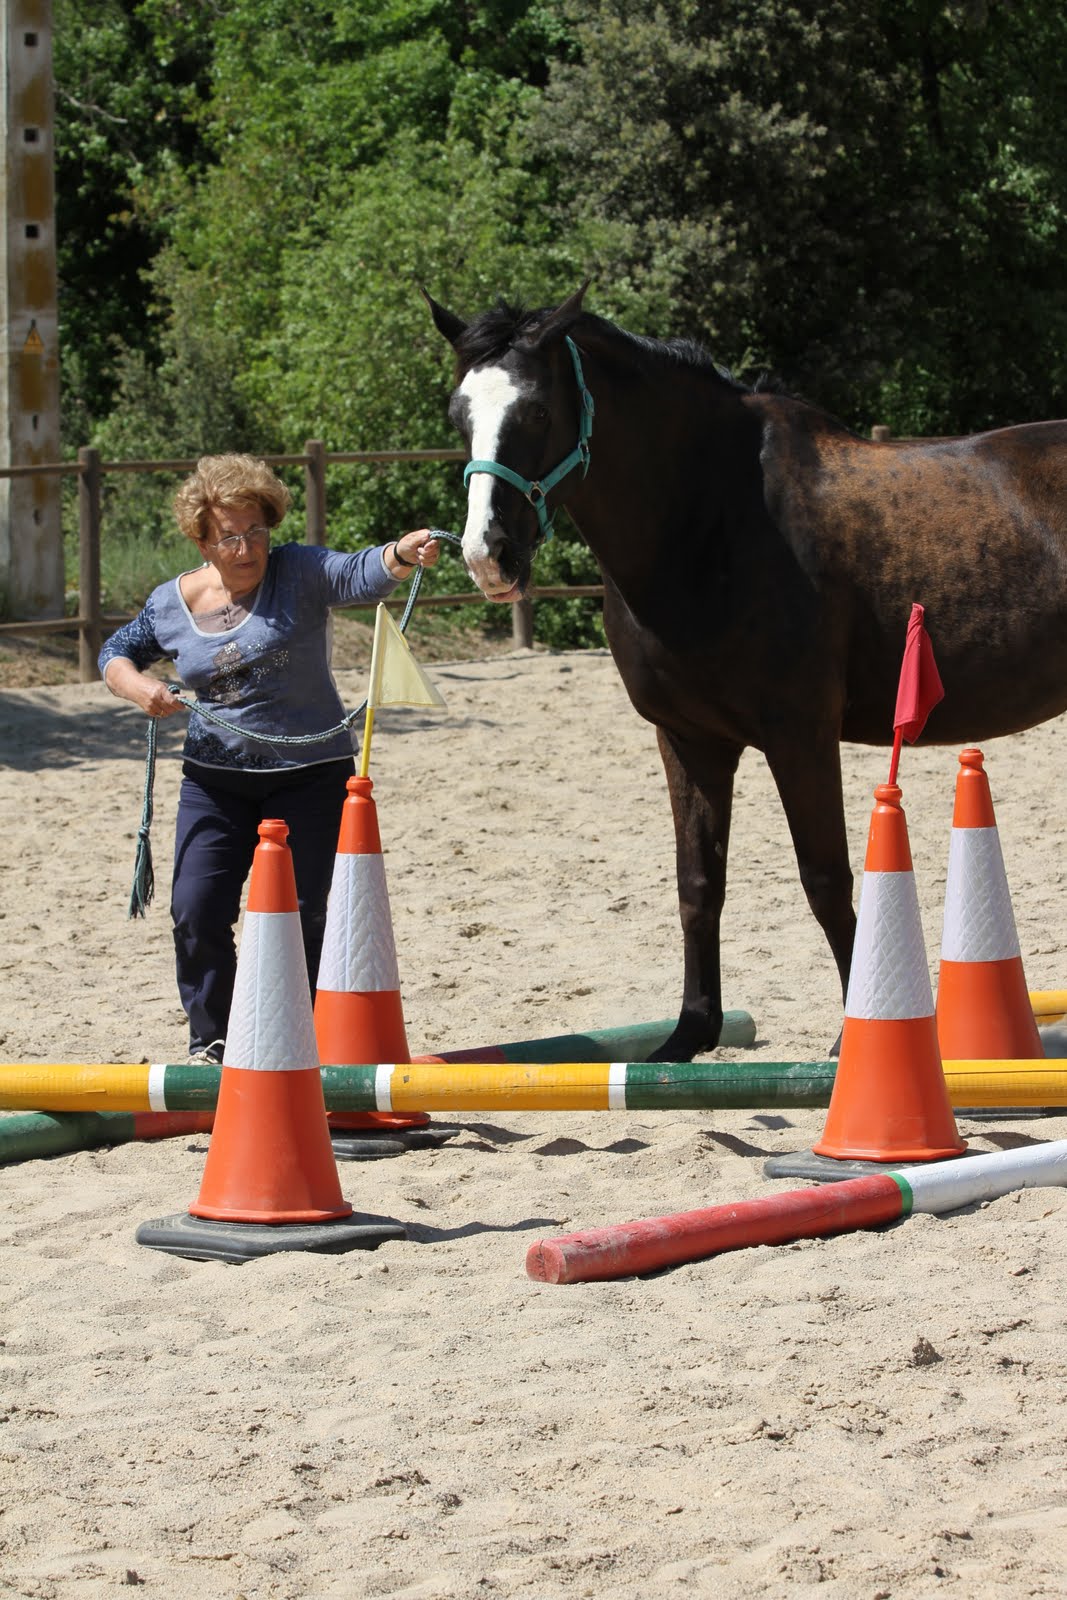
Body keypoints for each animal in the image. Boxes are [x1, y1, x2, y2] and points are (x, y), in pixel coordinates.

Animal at [424, 283, 1067, 1061]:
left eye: (538, 410)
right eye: (458, 416)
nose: (488, 557)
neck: (711, 520)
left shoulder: (800, 737)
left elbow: (825, 879)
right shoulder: (689, 740)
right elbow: (698, 883)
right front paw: (690, 1032)